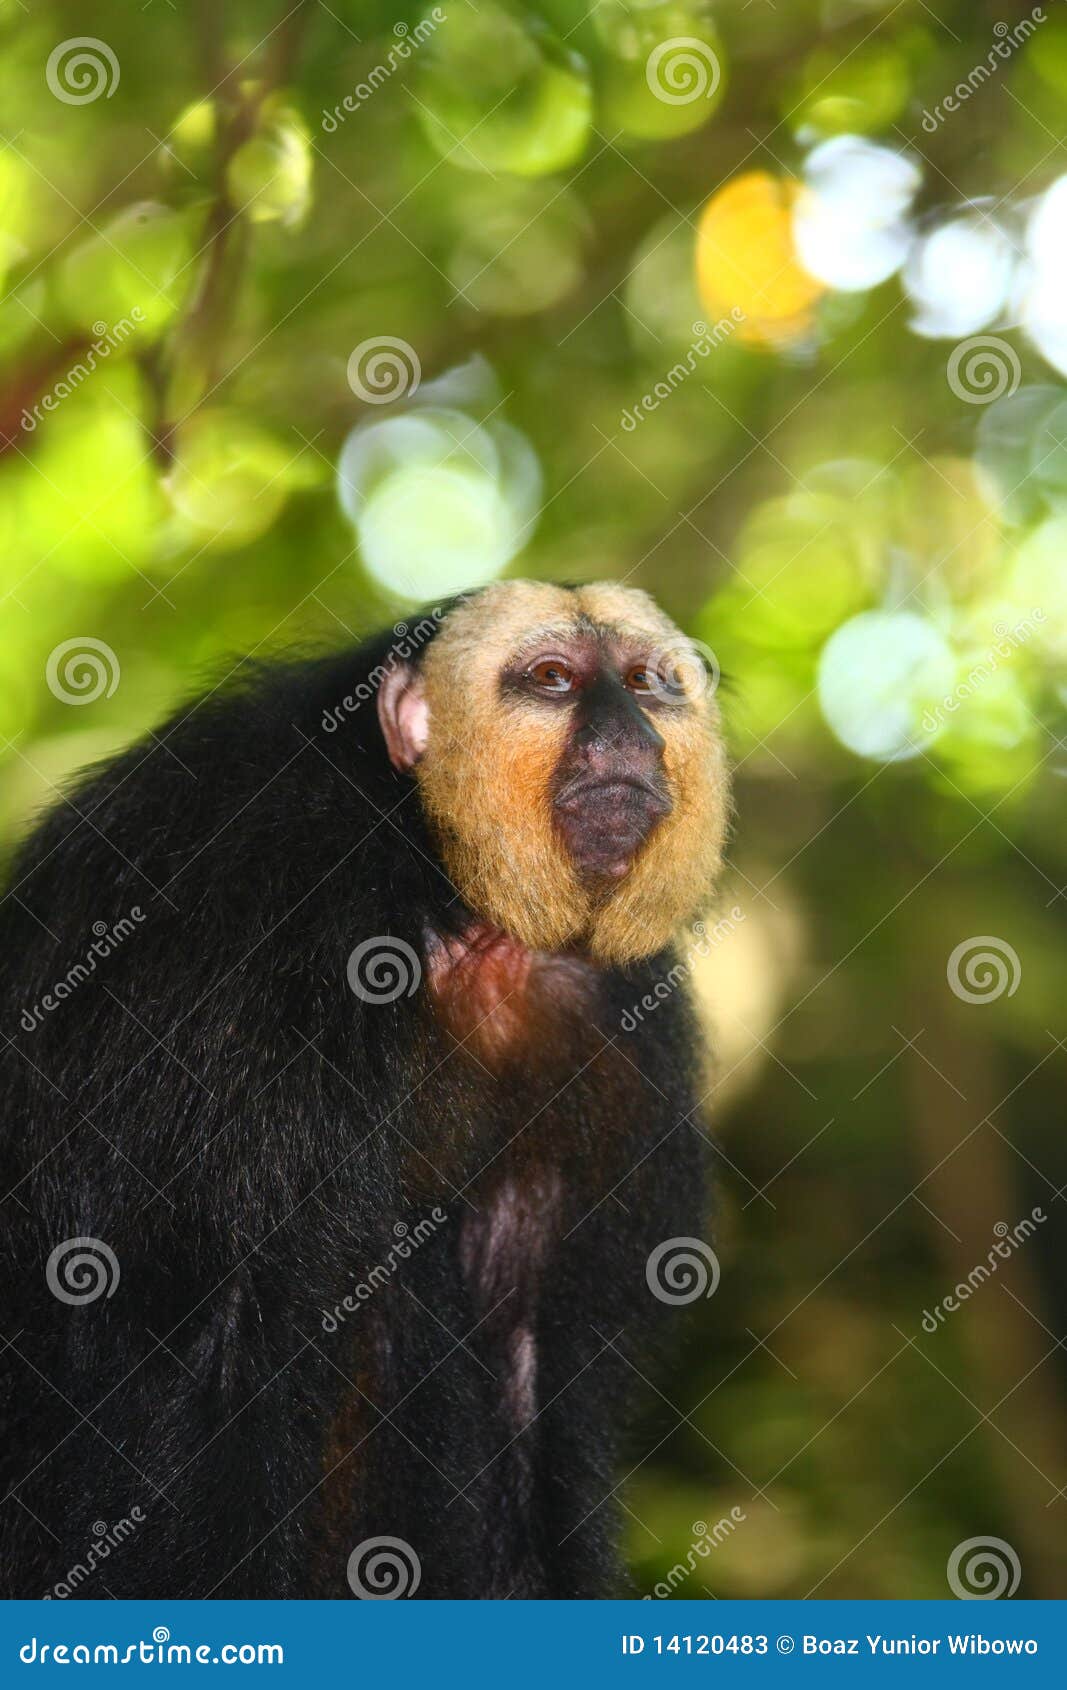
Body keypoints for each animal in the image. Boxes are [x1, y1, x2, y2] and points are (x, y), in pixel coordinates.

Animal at [0, 579, 730, 1599]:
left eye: (644, 683)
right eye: (552, 679)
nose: (629, 735)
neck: (446, 900)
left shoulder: (614, 1021)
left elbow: (531, 1360)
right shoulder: (248, 927)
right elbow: (221, 1340)